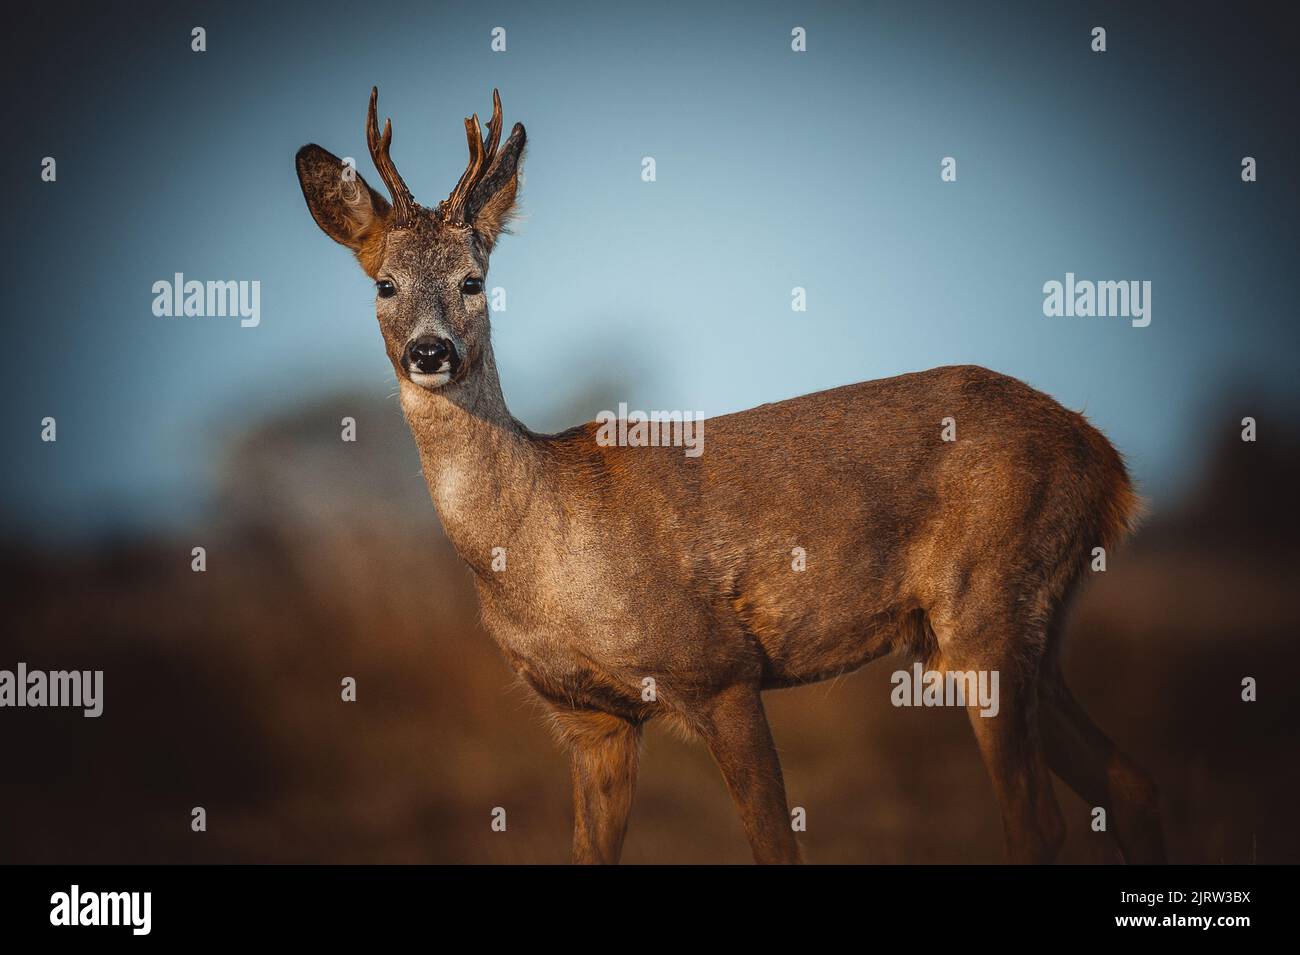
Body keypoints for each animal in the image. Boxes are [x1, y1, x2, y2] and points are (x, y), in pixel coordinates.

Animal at [295, 88, 1167, 865]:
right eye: (384, 283)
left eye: (474, 280)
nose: (430, 351)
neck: (539, 543)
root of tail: (1105, 457)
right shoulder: (591, 719)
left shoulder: (717, 668)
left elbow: (776, 846)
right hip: (1021, 626)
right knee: (1128, 779)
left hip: (986, 600)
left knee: (1039, 821)